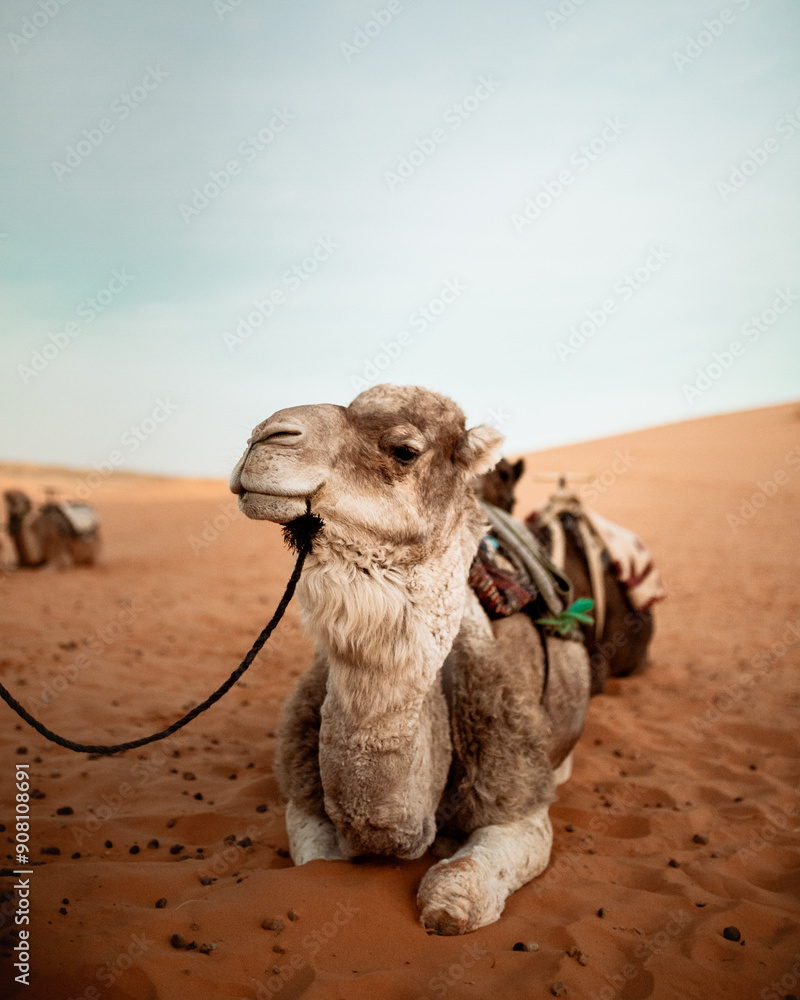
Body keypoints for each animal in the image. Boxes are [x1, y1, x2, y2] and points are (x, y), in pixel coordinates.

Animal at [230, 384, 591, 934]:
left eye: (405, 450)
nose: (264, 438)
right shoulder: (304, 801)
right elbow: (320, 861)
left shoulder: (517, 800)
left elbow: (454, 896)